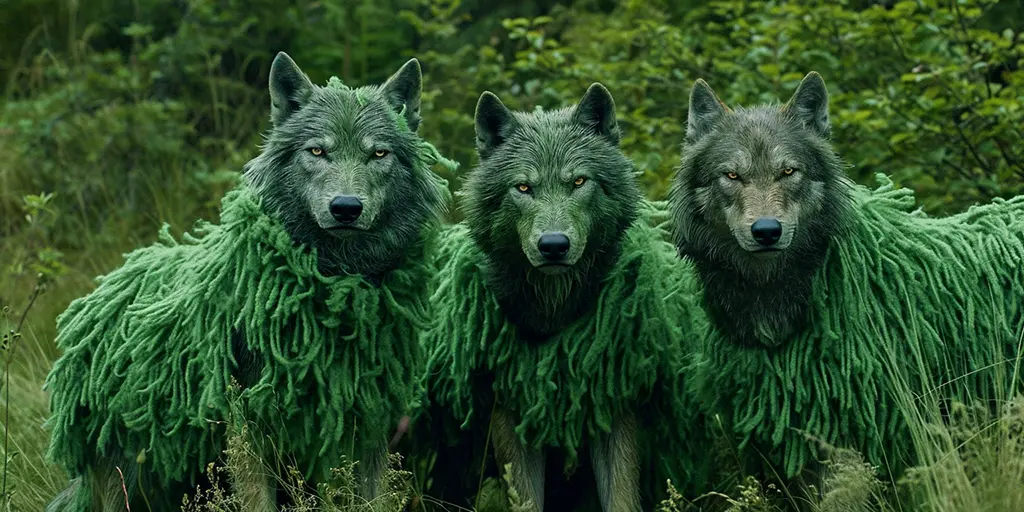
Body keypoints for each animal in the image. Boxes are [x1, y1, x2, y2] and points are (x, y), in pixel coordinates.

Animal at [44, 51, 453, 511]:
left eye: (378, 153)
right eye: (318, 150)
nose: (346, 208)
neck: (331, 289)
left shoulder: (364, 421)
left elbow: (372, 498)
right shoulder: (249, 423)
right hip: (128, 478)